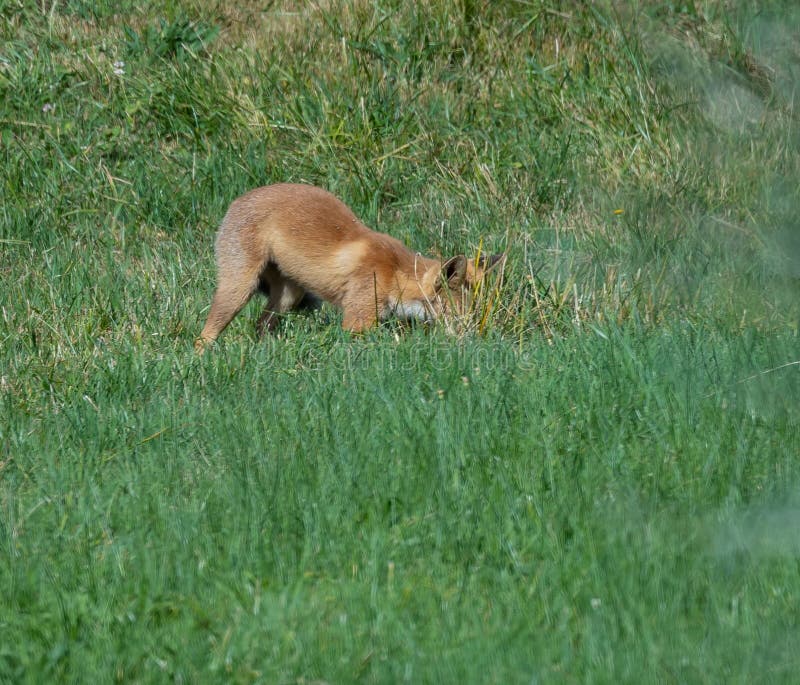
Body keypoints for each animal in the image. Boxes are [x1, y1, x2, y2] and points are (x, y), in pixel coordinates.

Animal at [196, 183, 503, 350]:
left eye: (476, 311)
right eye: (457, 314)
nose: (475, 338)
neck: (395, 273)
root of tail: (236, 201)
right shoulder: (357, 320)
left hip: (287, 296)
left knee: (261, 325)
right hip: (238, 289)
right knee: (204, 336)